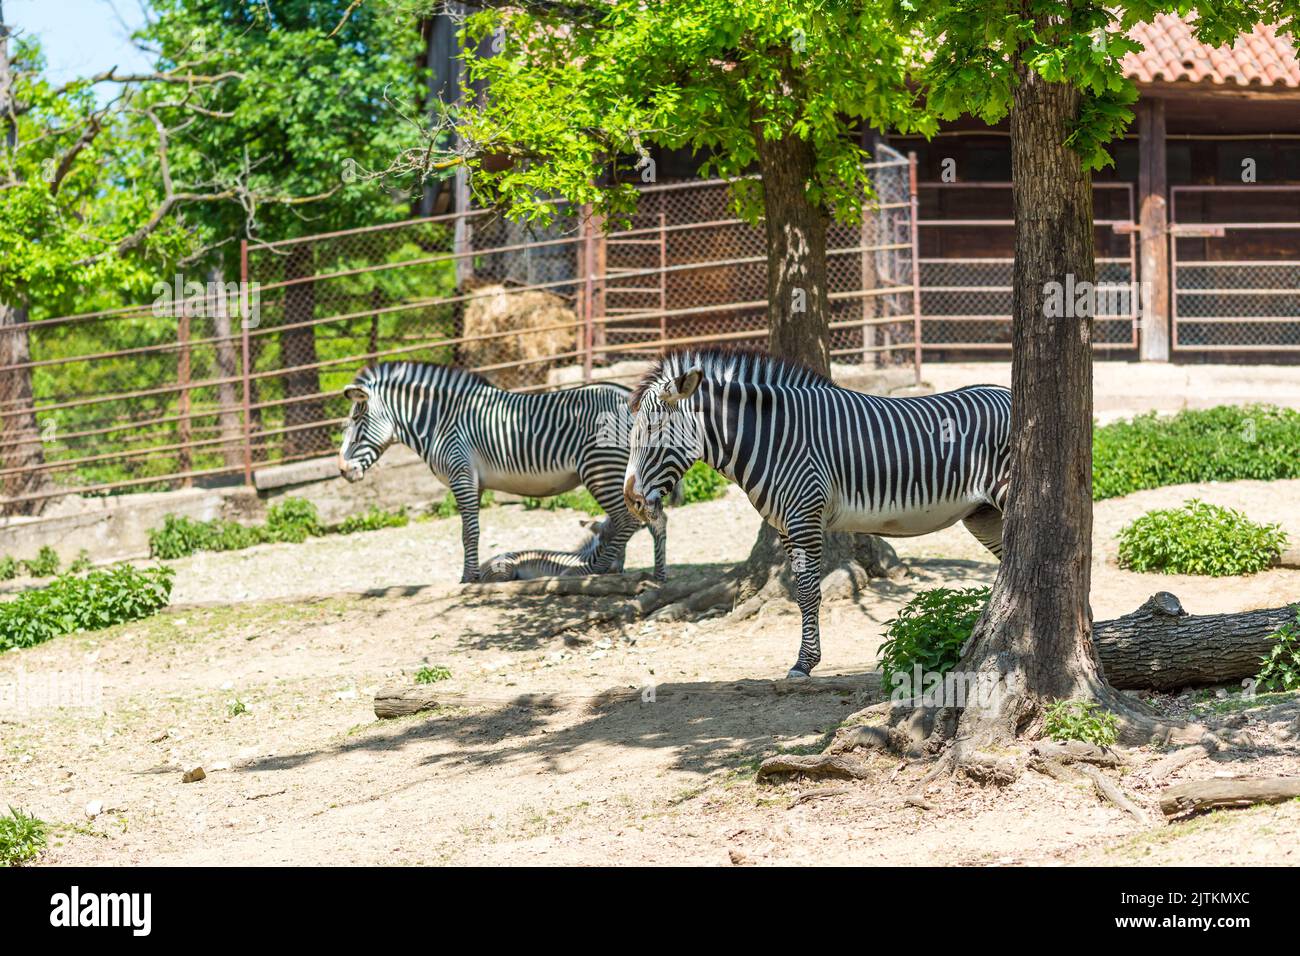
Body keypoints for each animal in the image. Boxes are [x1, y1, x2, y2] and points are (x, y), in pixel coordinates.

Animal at [338, 361, 668, 583]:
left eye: (358, 417)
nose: (342, 470)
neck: (441, 421)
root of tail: (628, 398)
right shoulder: (474, 483)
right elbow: (471, 531)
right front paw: (472, 575)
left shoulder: (461, 475)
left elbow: (468, 533)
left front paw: (468, 579)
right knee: (651, 520)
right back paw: (655, 574)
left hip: (600, 469)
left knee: (627, 520)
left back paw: (597, 570)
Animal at [623, 348, 1011, 679]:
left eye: (654, 432)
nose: (631, 501)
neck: (773, 438)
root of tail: (1008, 392)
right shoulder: (784, 526)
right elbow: (798, 591)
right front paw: (806, 658)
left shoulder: (805, 517)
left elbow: (810, 592)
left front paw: (804, 663)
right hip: (983, 515)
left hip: (1003, 496)